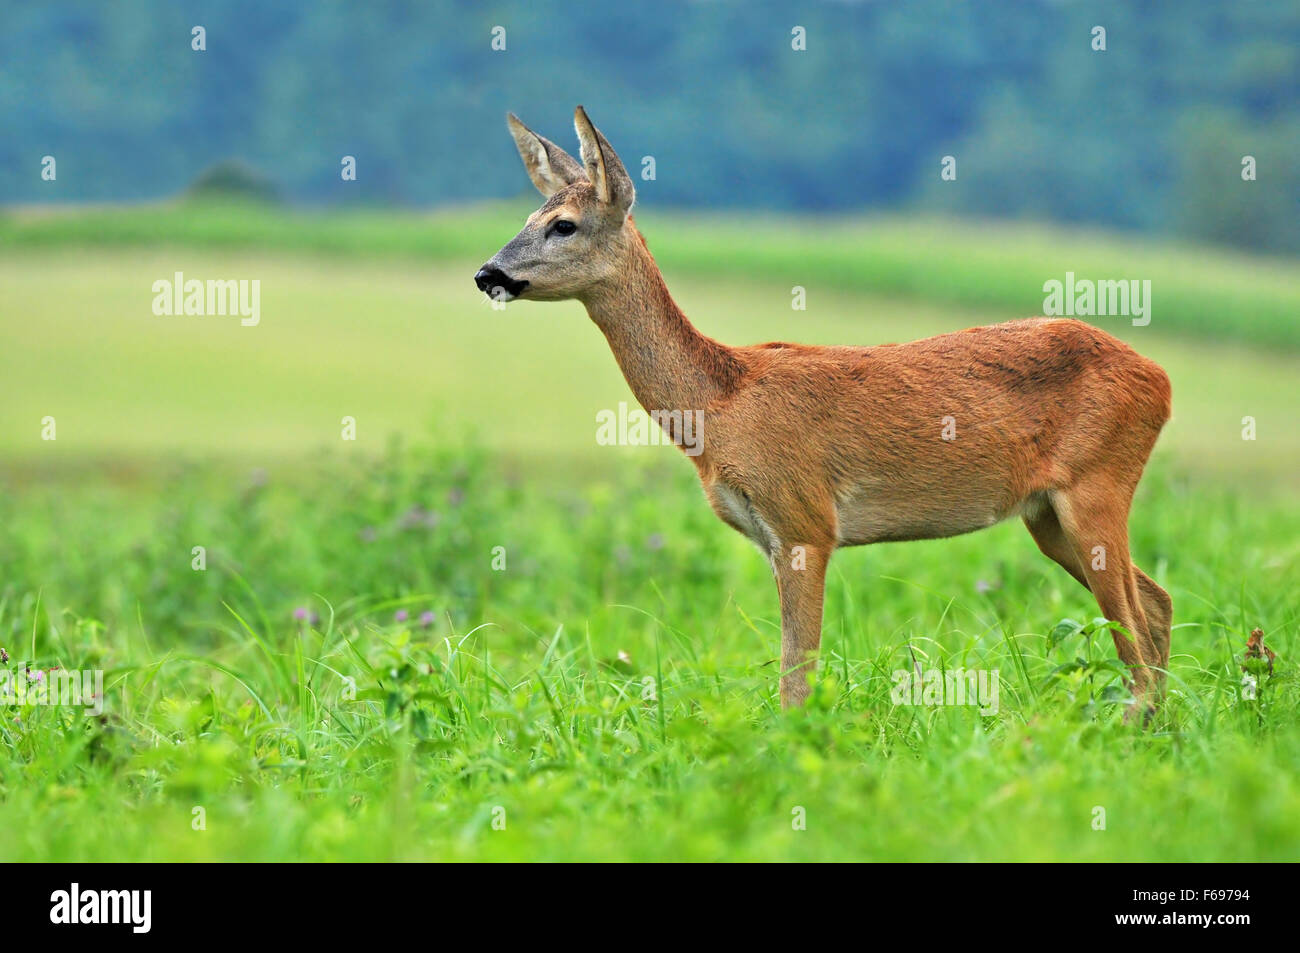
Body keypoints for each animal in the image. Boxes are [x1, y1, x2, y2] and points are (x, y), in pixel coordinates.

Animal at [475, 106, 1173, 716]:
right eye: (529, 214)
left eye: (563, 224)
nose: (487, 274)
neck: (719, 406)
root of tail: (1160, 379)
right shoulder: (771, 535)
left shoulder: (807, 521)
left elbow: (796, 679)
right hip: (1046, 516)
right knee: (1158, 606)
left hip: (1097, 484)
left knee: (1137, 632)